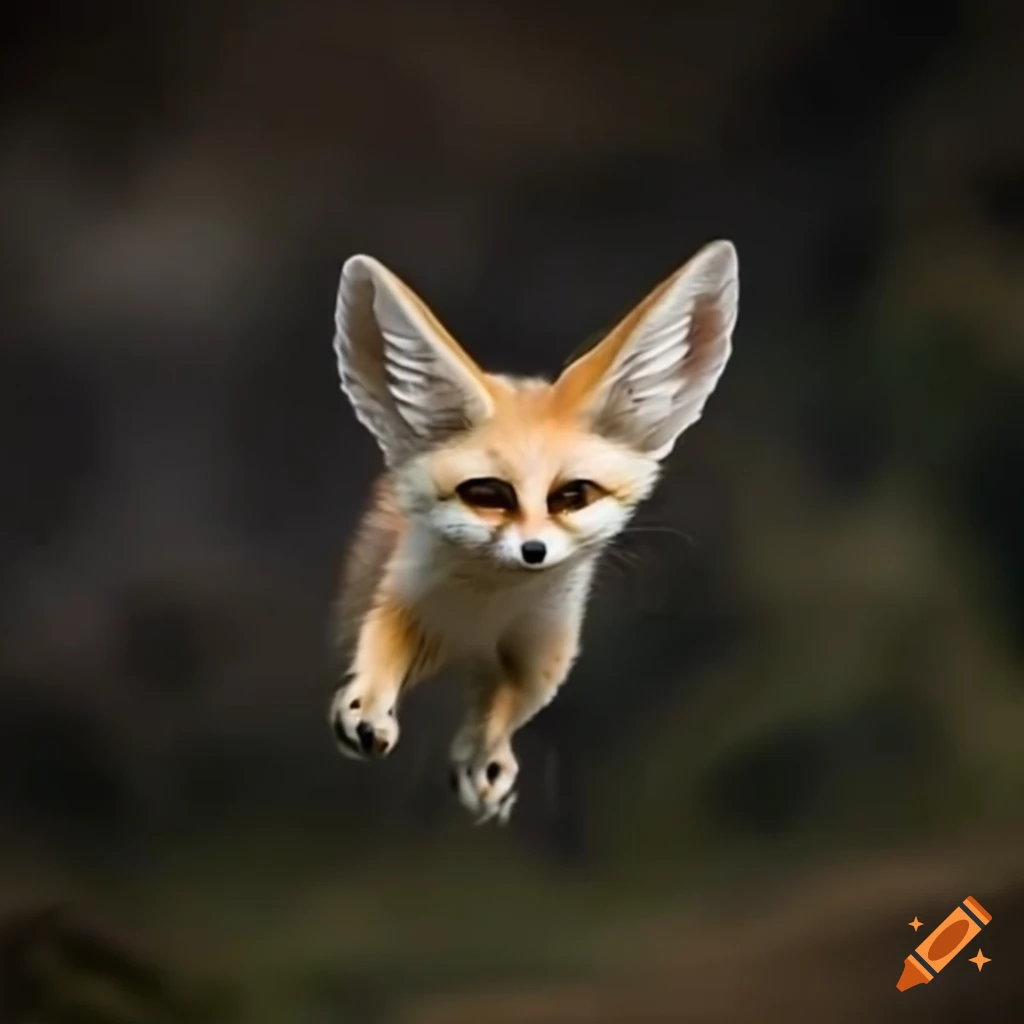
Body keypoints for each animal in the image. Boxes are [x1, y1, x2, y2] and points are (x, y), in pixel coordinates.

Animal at [328, 239, 738, 824]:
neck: (486, 612)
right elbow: (380, 653)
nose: (534, 550)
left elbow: (503, 713)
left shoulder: (539, 659)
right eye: (488, 494)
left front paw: (483, 761)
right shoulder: (404, 604)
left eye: (573, 496)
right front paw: (367, 709)